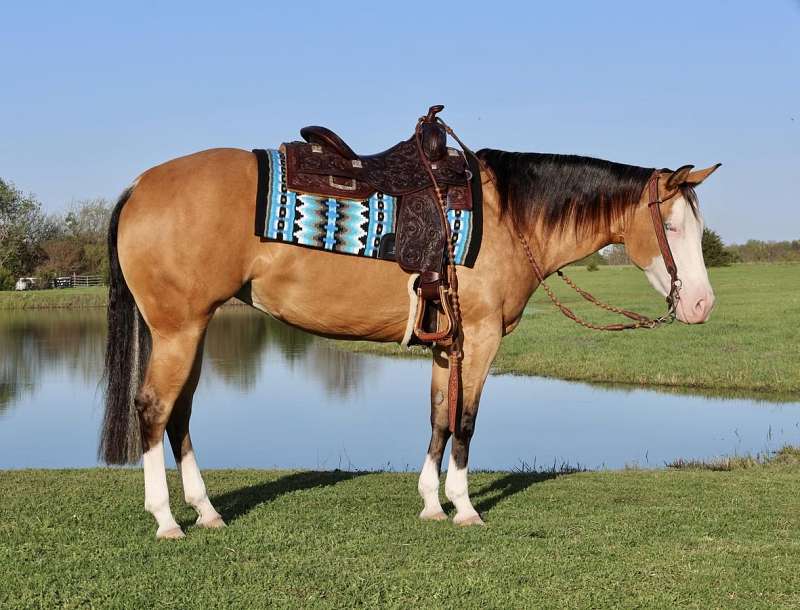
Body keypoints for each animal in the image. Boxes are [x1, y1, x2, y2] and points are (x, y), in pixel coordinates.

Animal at [99, 141, 719, 538]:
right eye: (673, 226)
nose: (702, 305)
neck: (505, 216)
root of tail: (139, 186)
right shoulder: (481, 339)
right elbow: (465, 421)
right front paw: (465, 509)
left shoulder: (448, 346)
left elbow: (439, 419)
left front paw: (431, 505)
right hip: (178, 330)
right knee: (154, 409)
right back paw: (167, 520)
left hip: (194, 330)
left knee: (179, 415)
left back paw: (205, 511)